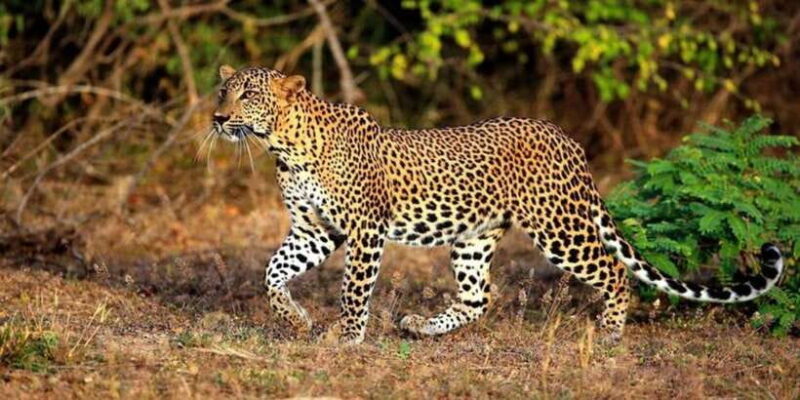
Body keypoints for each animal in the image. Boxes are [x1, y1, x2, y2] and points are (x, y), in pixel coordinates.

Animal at [210, 64, 784, 345]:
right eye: (222, 91)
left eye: (248, 95)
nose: (216, 118)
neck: (284, 145)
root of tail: (565, 137)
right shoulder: (314, 230)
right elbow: (272, 273)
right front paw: (296, 321)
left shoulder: (364, 230)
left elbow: (354, 290)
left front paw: (345, 337)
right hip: (473, 236)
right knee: (479, 297)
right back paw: (422, 327)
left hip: (560, 228)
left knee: (614, 273)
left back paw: (611, 333)